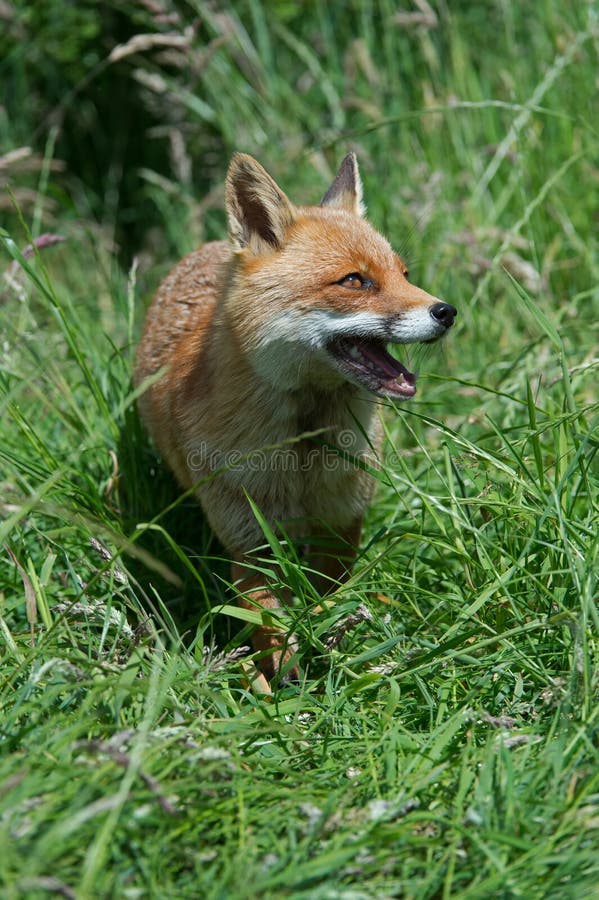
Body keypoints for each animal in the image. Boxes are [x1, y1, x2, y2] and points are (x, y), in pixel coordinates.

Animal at [134, 152, 456, 683]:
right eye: (355, 281)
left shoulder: (342, 522)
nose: (447, 312)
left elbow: (328, 603)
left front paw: (329, 654)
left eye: (405, 273)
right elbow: (272, 628)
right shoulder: (249, 541)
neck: (303, 449)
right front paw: (289, 685)